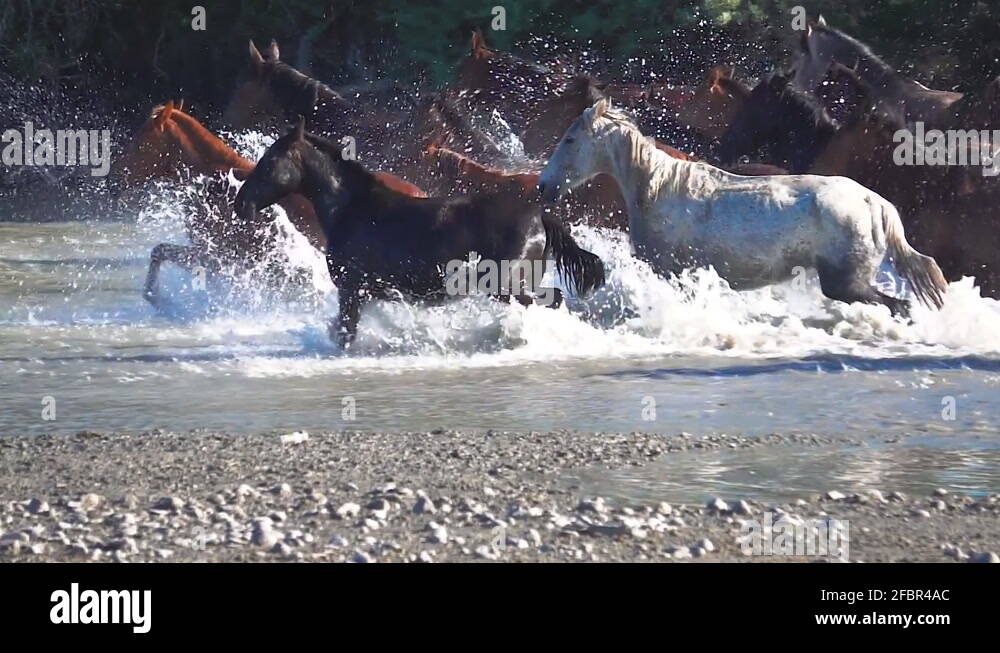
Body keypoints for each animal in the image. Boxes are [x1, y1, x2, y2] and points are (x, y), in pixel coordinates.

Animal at [111, 100, 425, 305]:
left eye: (140, 141)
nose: (114, 177)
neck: (218, 183)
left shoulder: (220, 256)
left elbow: (160, 252)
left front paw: (153, 296)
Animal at [234, 119, 606, 348]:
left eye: (270, 162)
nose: (241, 204)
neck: (350, 209)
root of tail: (541, 216)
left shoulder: (350, 290)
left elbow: (344, 334)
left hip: (509, 285)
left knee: (551, 302)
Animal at [538, 98, 947, 316]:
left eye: (570, 139)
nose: (544, 186)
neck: (658, 189)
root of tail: (875, 203)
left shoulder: (672, 272)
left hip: (846, 283)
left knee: (898, 306)